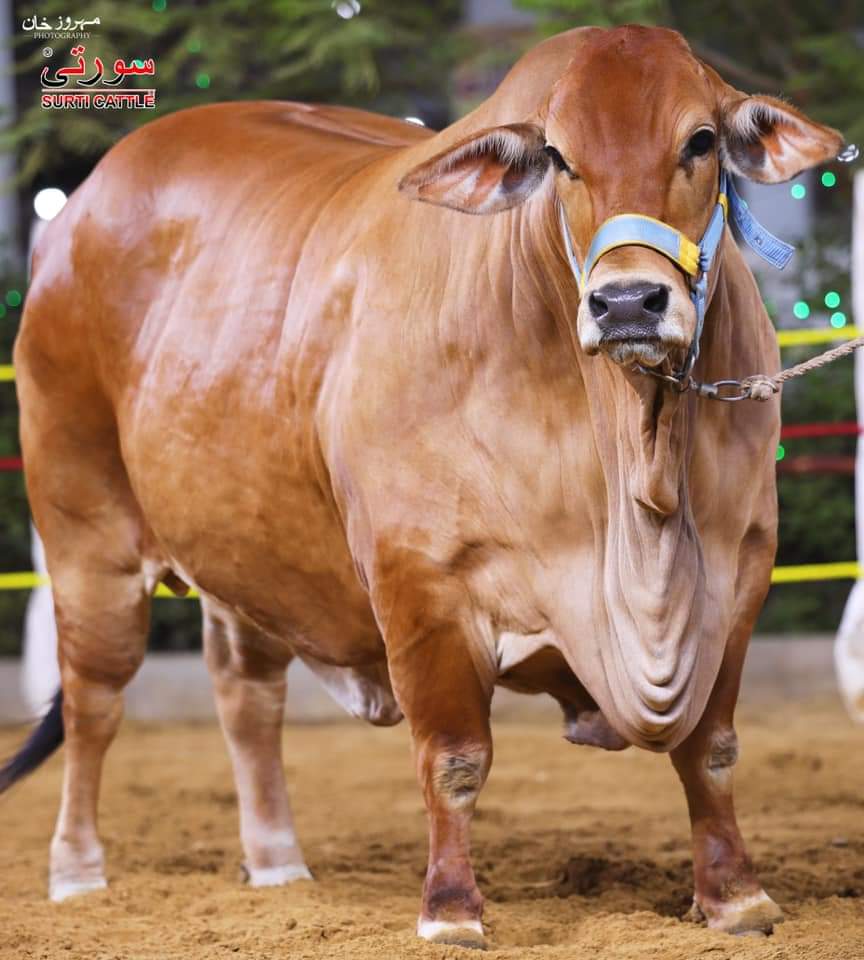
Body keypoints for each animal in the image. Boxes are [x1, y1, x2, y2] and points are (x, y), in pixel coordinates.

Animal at [0, 23, 844, 948]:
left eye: (698, 141)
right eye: (559, 156)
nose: (627, 302)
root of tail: (77, 209)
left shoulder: (739, 572)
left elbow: (711, 748)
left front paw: (736, 897)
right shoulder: (423, 584)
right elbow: (454, 758)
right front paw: (450, 909)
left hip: (244, 549)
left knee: (247, 694)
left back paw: (277, 862)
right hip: (86, 533)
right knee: (94, 699)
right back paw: (79, 870)